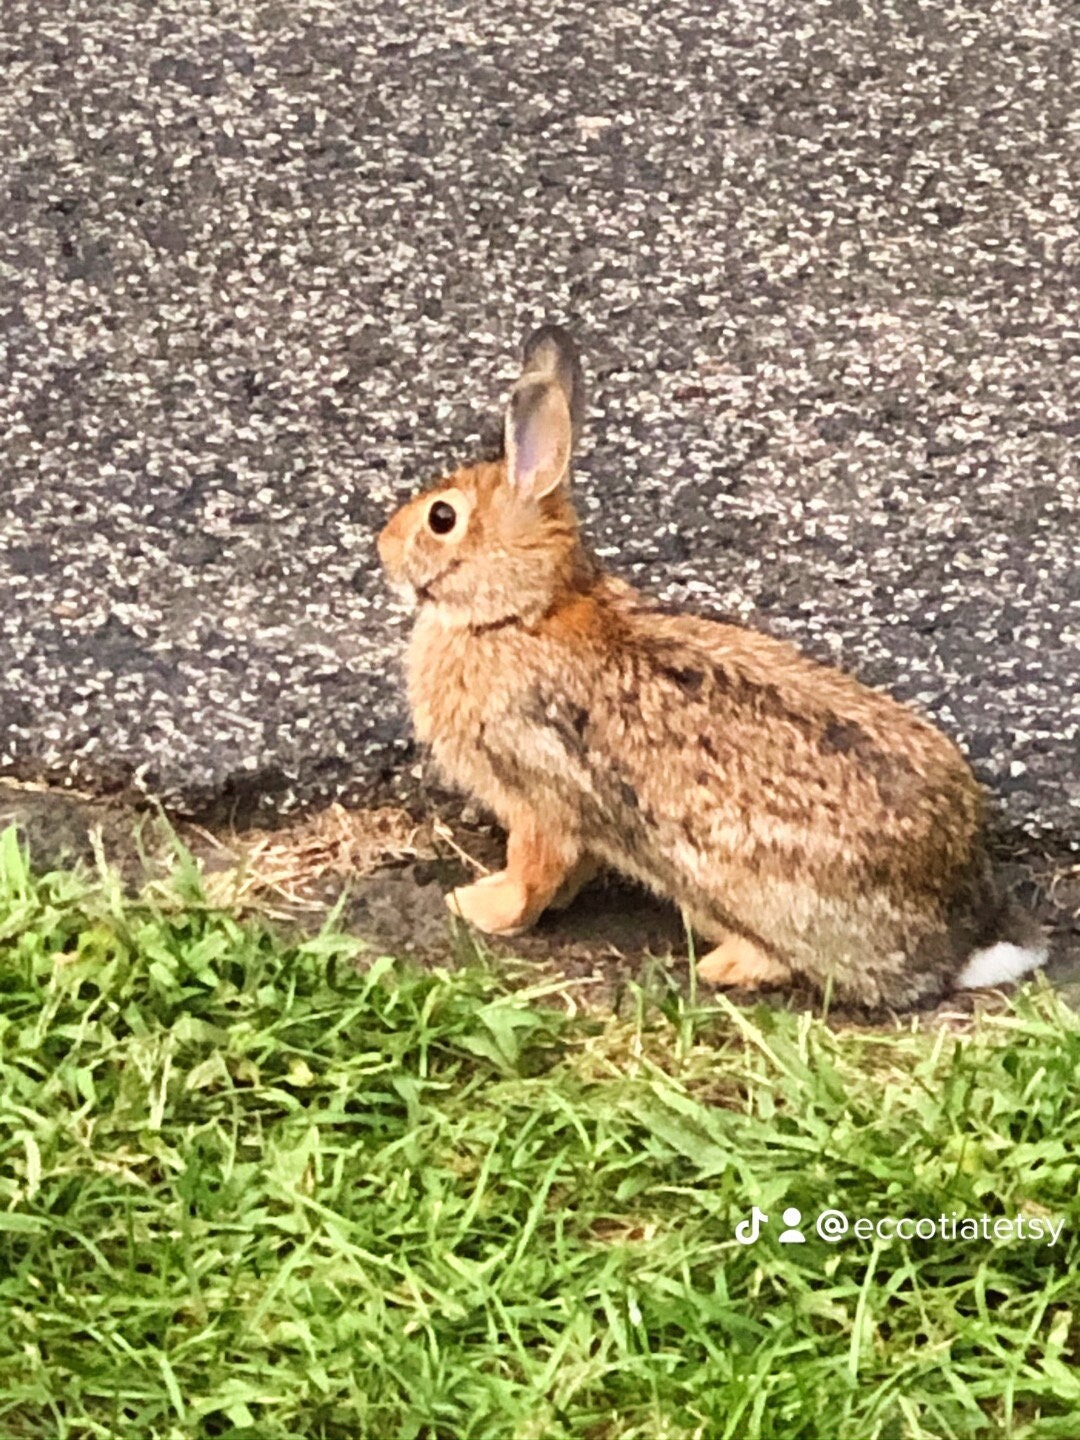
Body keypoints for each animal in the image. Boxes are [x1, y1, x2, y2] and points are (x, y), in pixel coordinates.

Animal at [377, 325, 1046, 1009]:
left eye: (441, 518)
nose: (382, 548)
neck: (519, 612)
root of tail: (957, 942)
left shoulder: (539, 793)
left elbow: (533, 870)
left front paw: (478, 909)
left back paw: (722, 967)